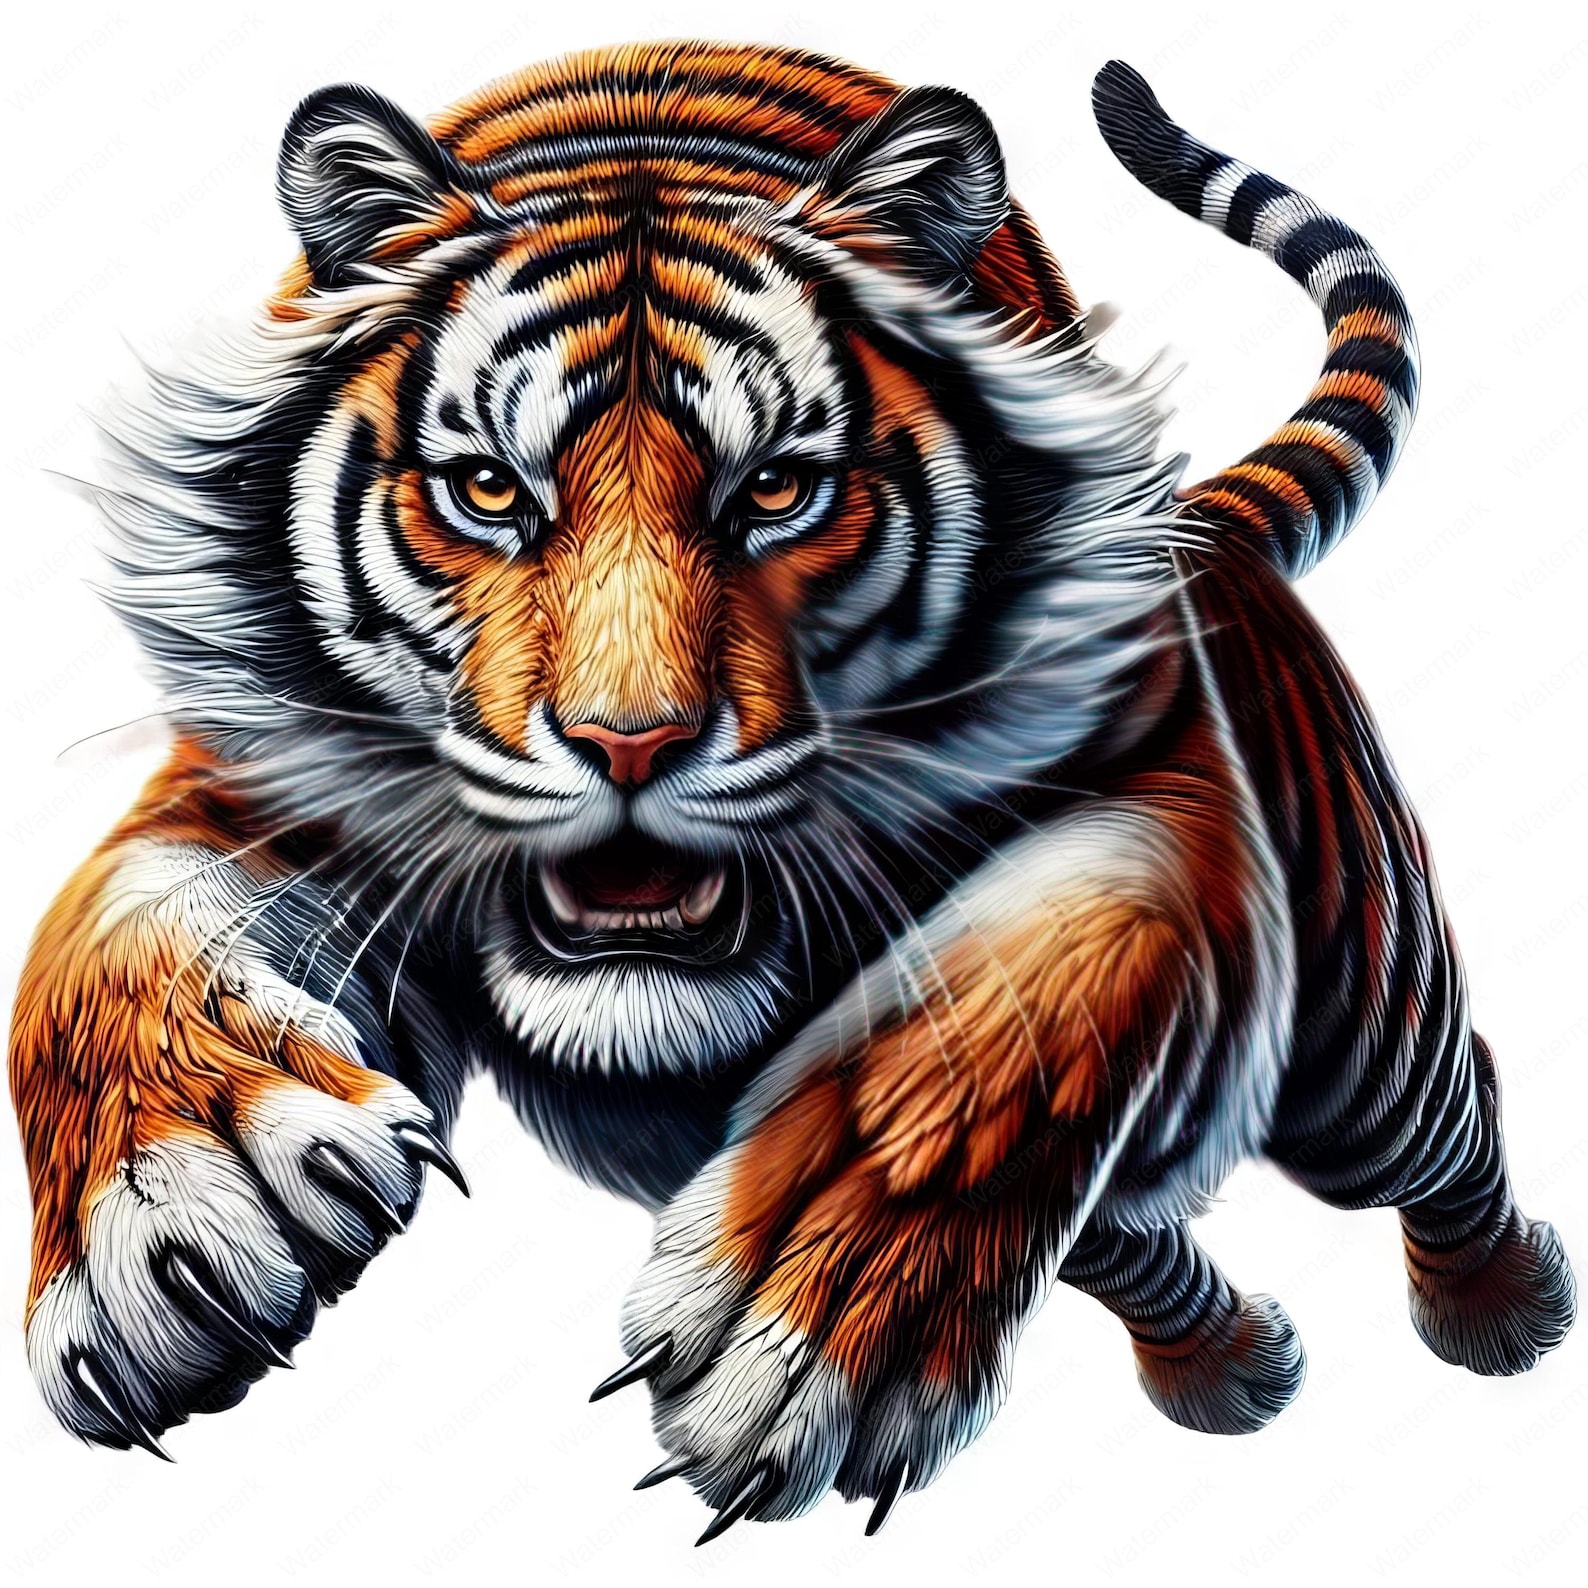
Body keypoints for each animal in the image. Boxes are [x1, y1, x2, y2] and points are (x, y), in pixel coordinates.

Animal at [8, 41, 1575, 1543]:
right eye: (490, 491)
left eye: (774, 492)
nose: (629, 745)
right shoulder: (260, 779)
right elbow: (95, 943)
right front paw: (174, 1214)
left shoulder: (1155, 781)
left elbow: (1017, 1007)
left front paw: (804, 1323)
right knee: (1128, 1240)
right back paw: (1228, 1372)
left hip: (1365, 1031)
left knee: (1441, 1129)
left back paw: (1504, 1314)